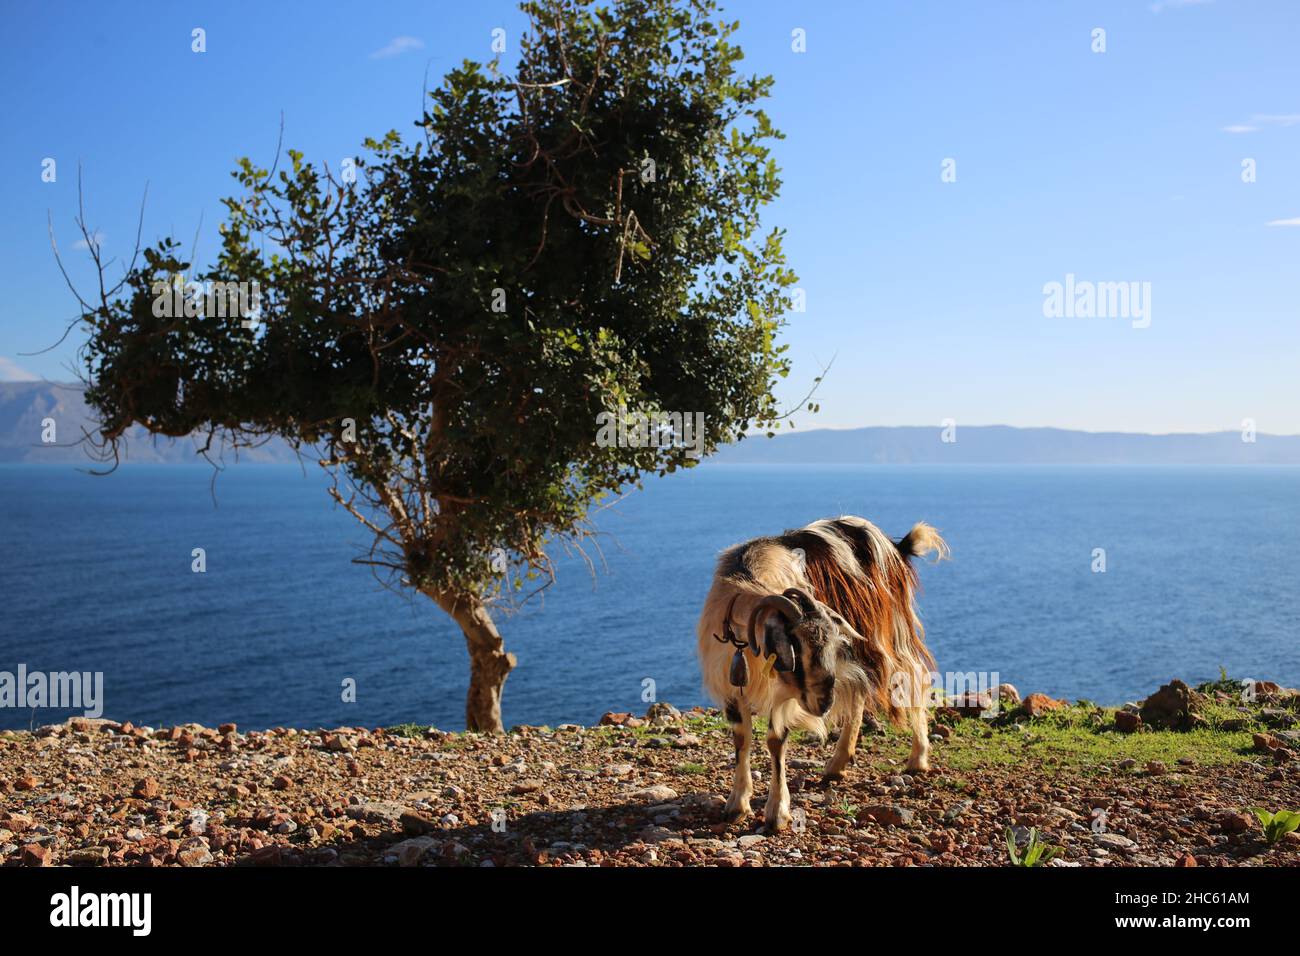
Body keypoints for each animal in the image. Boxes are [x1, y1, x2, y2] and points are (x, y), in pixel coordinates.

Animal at [696, 516, 948, 832]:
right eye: (797, 648)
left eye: (828, 645)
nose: (824, 704)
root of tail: (896, 546)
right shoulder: (731, 685)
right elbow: (742, 740)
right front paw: (737, 804)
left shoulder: (786, 694)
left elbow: (775, 741)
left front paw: (777, 813)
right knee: (860, 692)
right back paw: (837, 764)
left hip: (888, 631)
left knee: (914, 678)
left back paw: (918, 758)